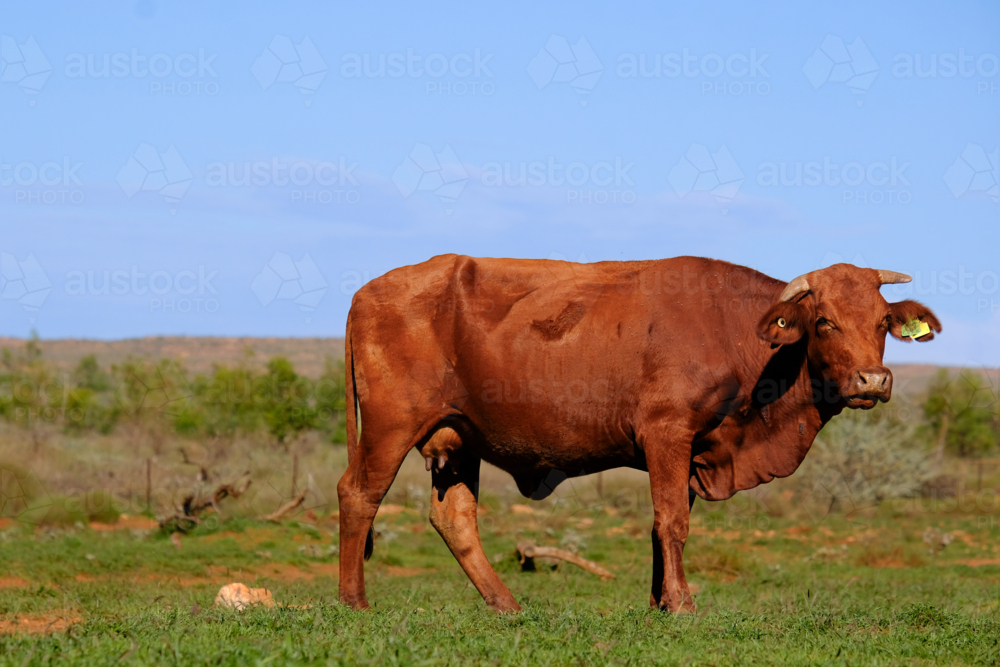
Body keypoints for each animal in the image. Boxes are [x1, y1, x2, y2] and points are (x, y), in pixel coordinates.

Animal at [337, 255, 940, 613]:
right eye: (824, 322)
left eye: (883, 323)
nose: (872, 380)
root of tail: (371, 288)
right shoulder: (667, 433)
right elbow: (671, 521)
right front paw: (683, 605)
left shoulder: (689, 451)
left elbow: (660, 525)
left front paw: (659, 605)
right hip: (390, 427)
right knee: (358, 495)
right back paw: (353, 601)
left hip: (459, 440)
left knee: (454, 518)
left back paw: (506, 605)